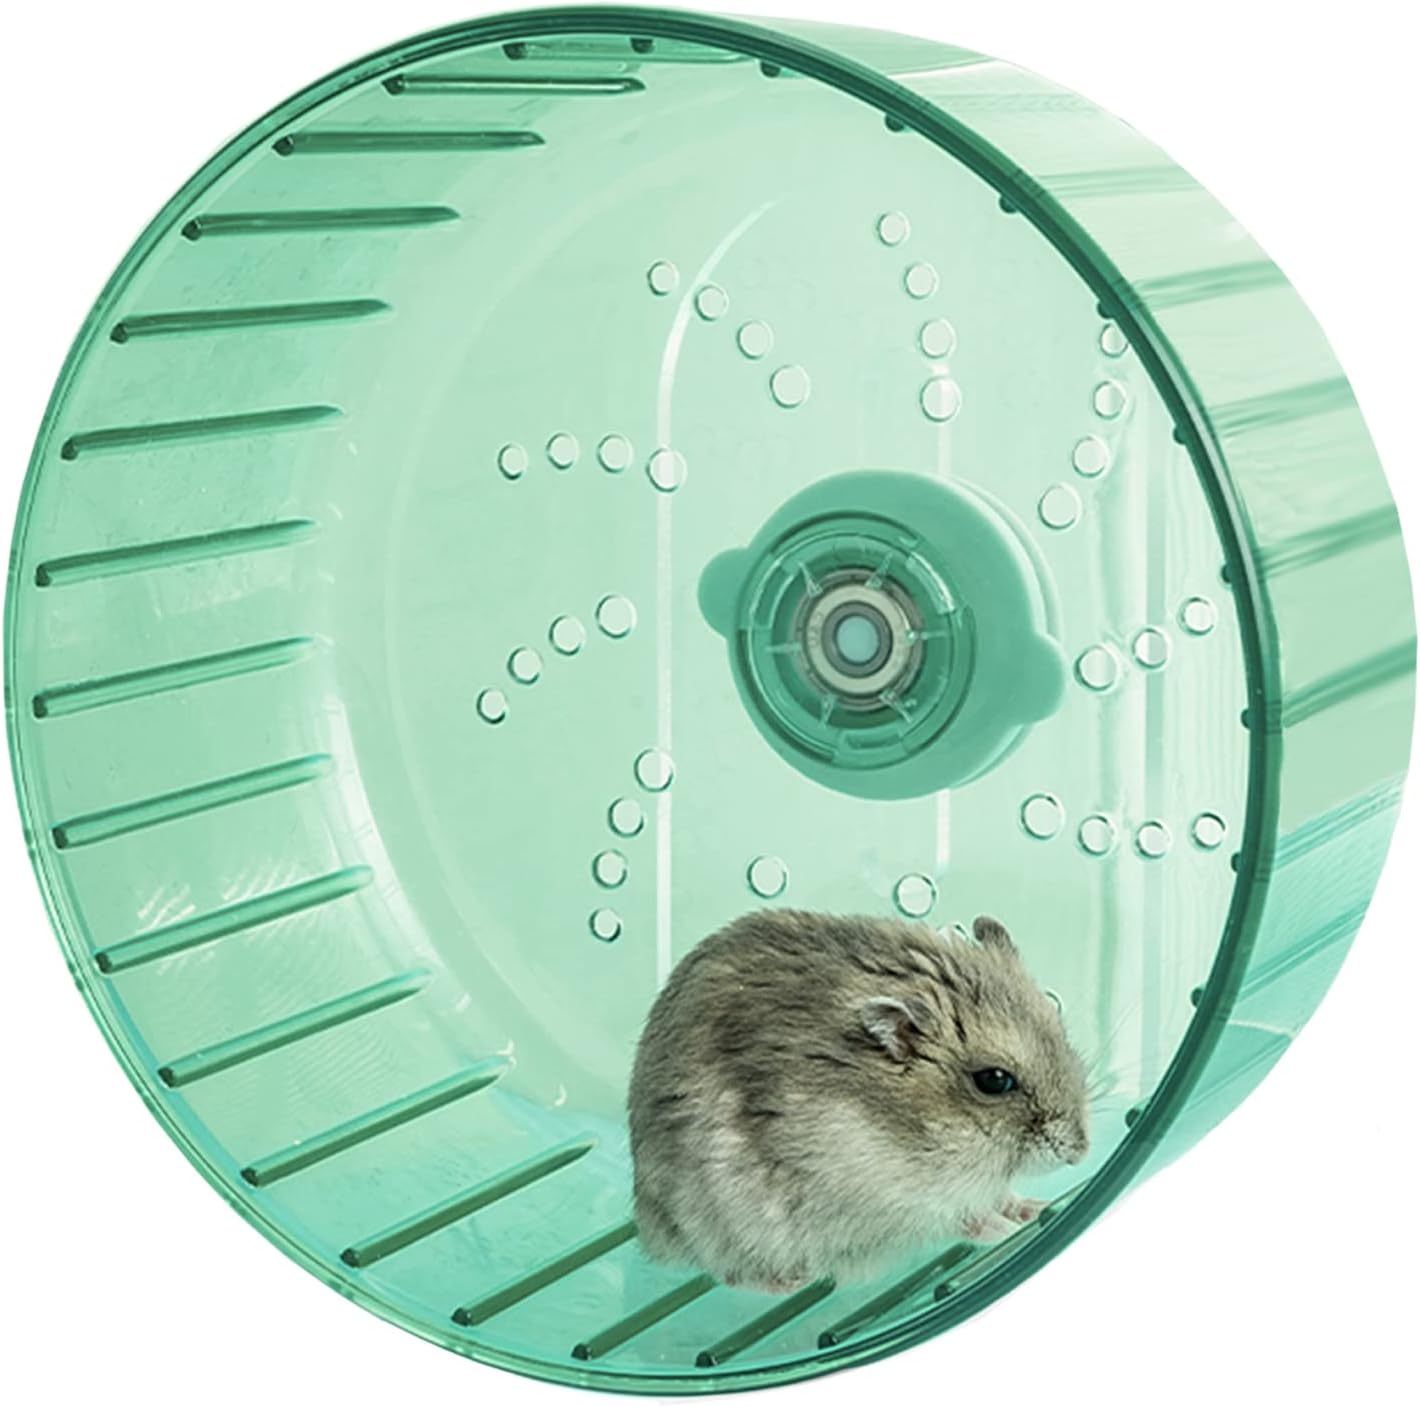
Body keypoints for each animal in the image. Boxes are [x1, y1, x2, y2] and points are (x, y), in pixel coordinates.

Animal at [627, 910, 1090, 1293]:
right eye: (993, 1080)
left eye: (1058, 1022)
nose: (1081, 1153)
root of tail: (647, 1226)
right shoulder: (895, 1201)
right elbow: (963, 1217)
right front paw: (1004, 1230)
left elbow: (997, 1196)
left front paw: (1034, 1209)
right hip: (719, 1221)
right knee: (729, 1272)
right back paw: (791, 1283)